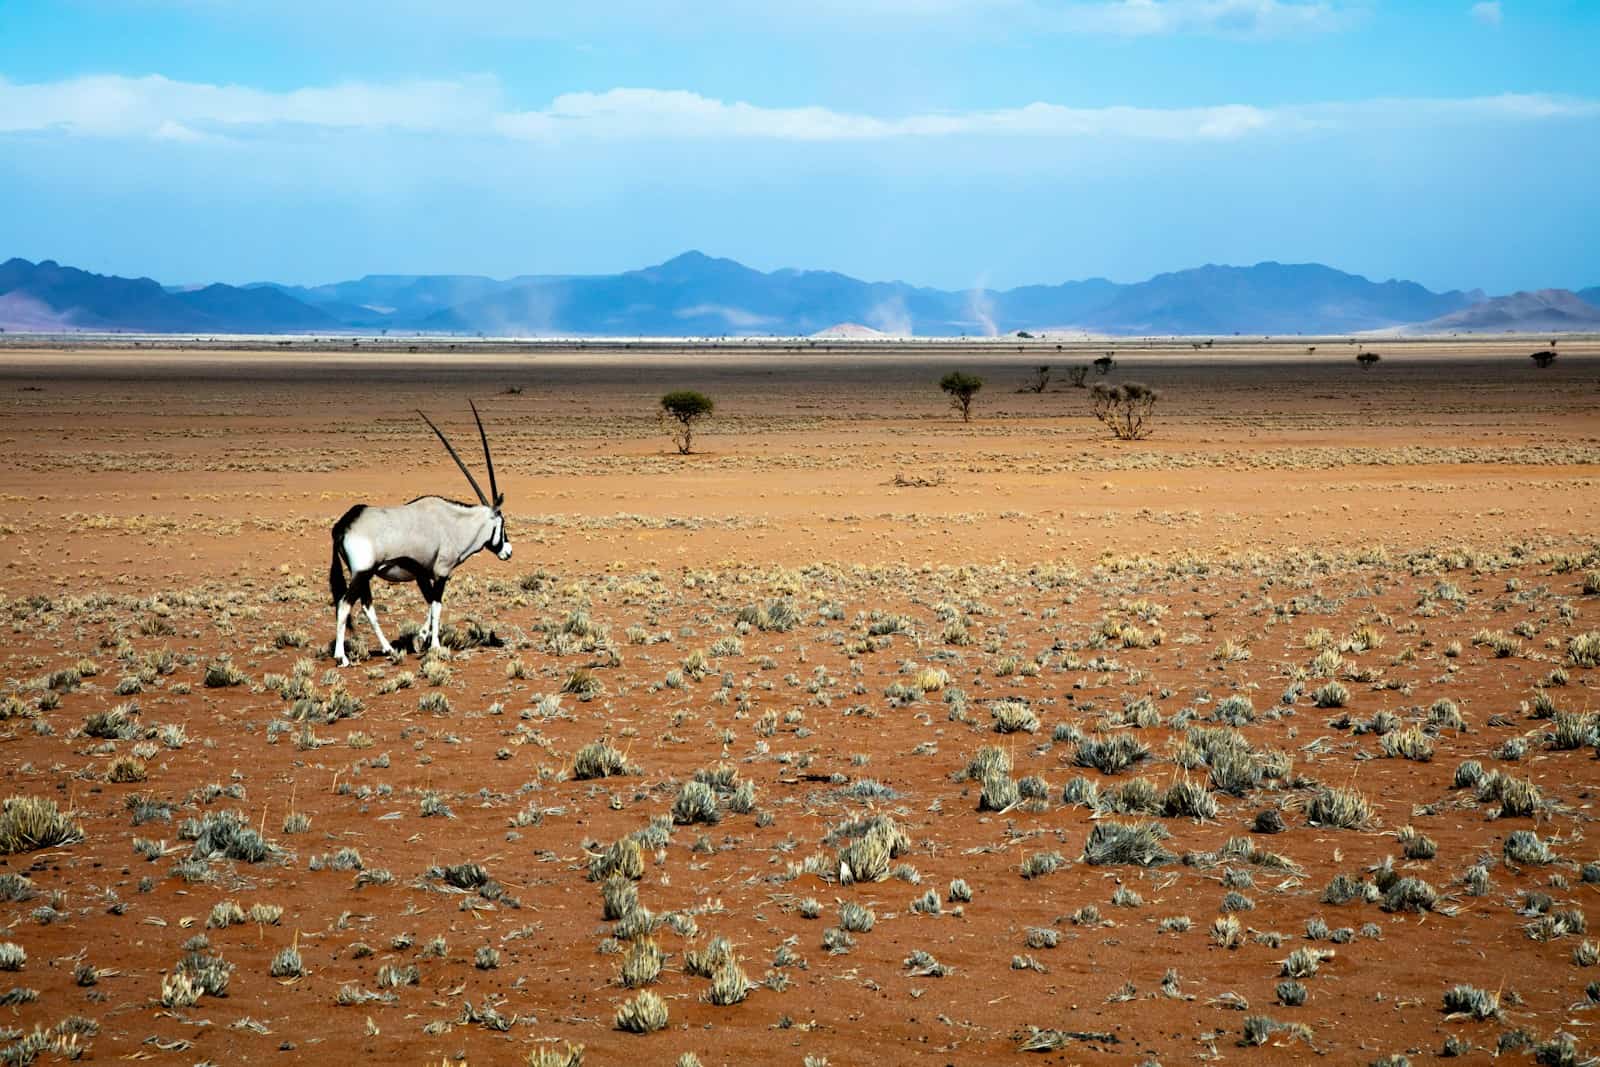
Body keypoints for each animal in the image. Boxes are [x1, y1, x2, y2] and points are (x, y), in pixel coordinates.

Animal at [329, 402, 511, 666]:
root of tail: (344, 524)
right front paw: (434, 645)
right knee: (344, 605)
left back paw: (389, 649)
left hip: (364, 576)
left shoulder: (423, 574)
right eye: (502, 522)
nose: (508, 551)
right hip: (361, 573)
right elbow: (437, 606)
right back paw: (342, 657)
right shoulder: (442, 572)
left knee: (367, 607)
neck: (453, 523)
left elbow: (430, 605)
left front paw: (419, 638)